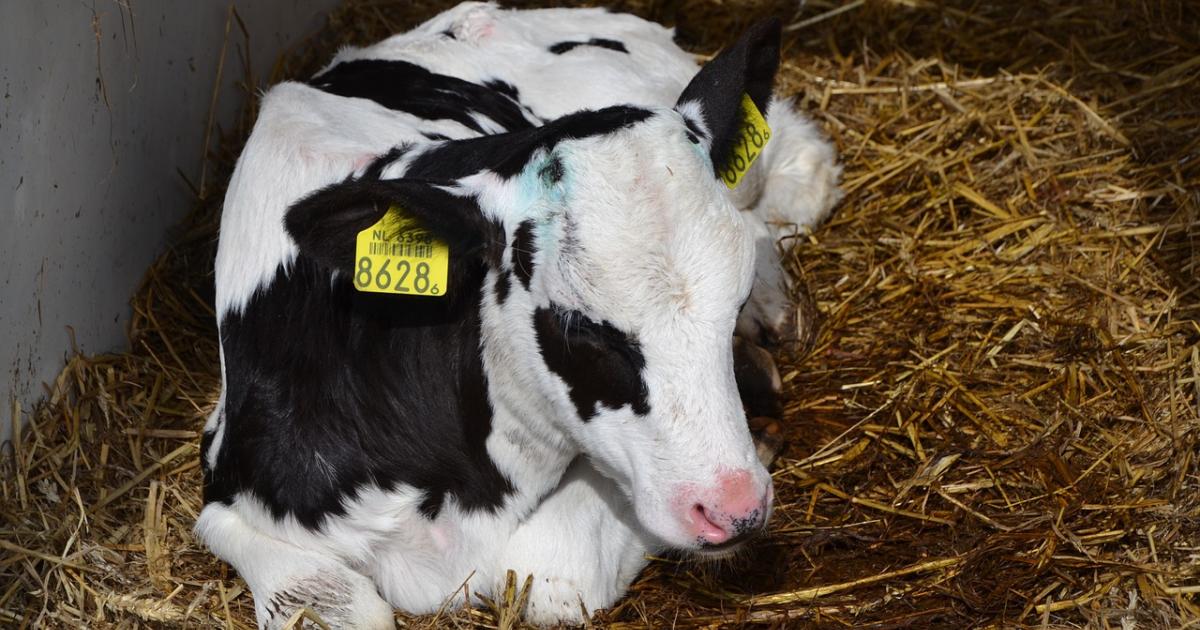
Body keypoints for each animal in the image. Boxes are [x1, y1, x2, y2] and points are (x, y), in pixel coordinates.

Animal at [196, 4, 840, 628]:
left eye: (731, 303)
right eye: (580, 327)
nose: (736, 508)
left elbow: (551, 576)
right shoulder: (227, 483)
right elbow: (326, 607)